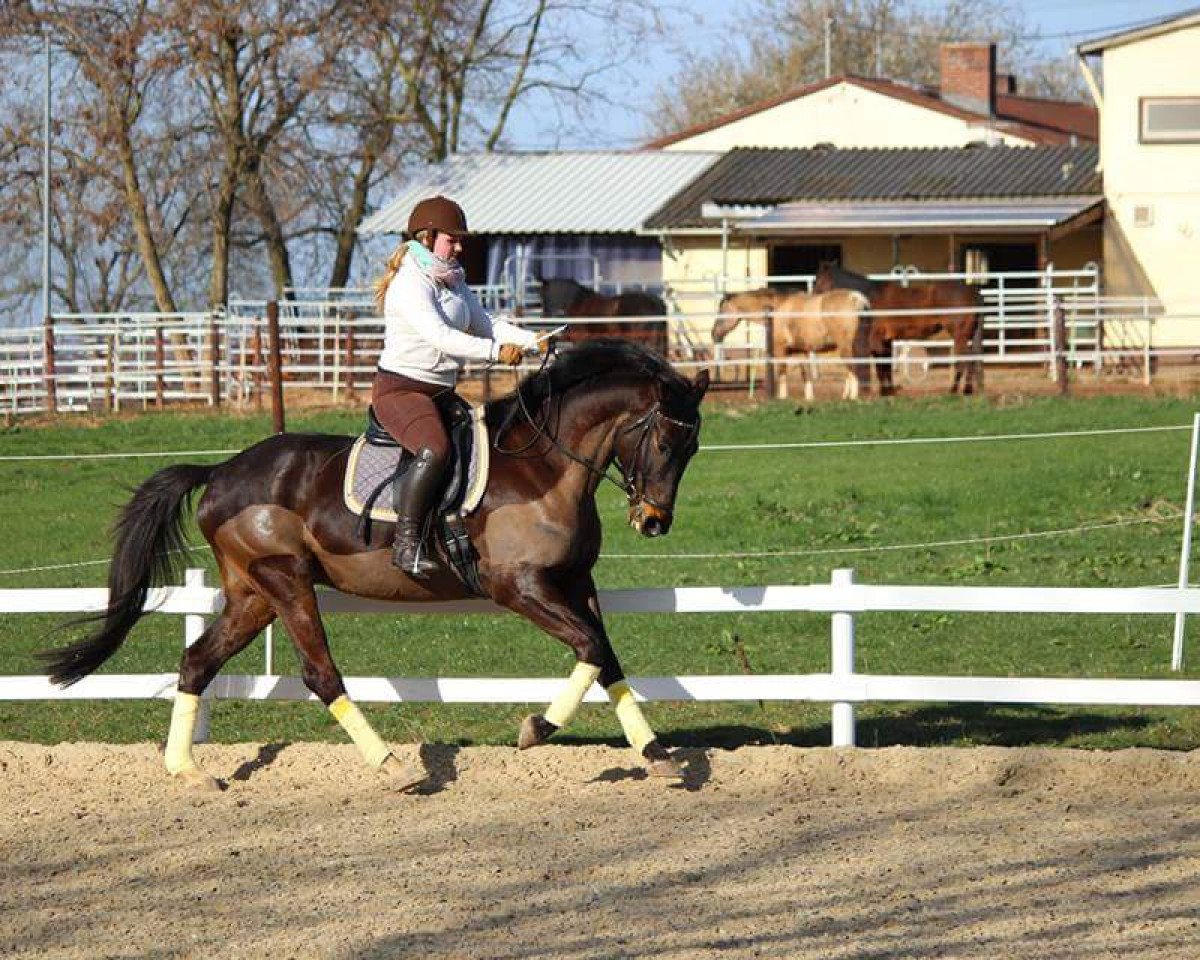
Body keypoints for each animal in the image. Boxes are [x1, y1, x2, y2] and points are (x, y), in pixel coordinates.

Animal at [41, 340, 710, 792]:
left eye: (694, 448)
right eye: (664, 441)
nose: (653, 521)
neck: (544, 468)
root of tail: (221, 472)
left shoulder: (575, 581)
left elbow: (605, 656)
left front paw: (655, 753)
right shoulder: (517, 586)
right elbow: (589, 648)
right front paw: (535, 729)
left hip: (253, 594)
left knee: (197, 661)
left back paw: (186, 769)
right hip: (286, 580)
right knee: (319, 674)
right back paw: (388, 764)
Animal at [711, 288, 871, 401]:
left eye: (722, 312)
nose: (714, 335)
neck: (776, 308)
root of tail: (855, 298)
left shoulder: (780, 349)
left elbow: (782, 371)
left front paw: (782, 397)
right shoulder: (801, 350)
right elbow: (805, 374)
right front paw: (809, 398)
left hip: (844, 346)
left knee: (852, 367)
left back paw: (852, 396)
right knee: (849, 370)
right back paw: (845, 396)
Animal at [813, 262, 983, 397]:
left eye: (818, 281)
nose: (813, 298)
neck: (868, 299)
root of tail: (972, 292)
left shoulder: (875, 341)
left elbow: (881, 367)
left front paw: (884, 392)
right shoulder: (885, 342)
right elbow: (886, 367)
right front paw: (888, 391)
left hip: (960, 335)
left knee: (965, 360)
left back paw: (957, 390)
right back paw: (966, 389)